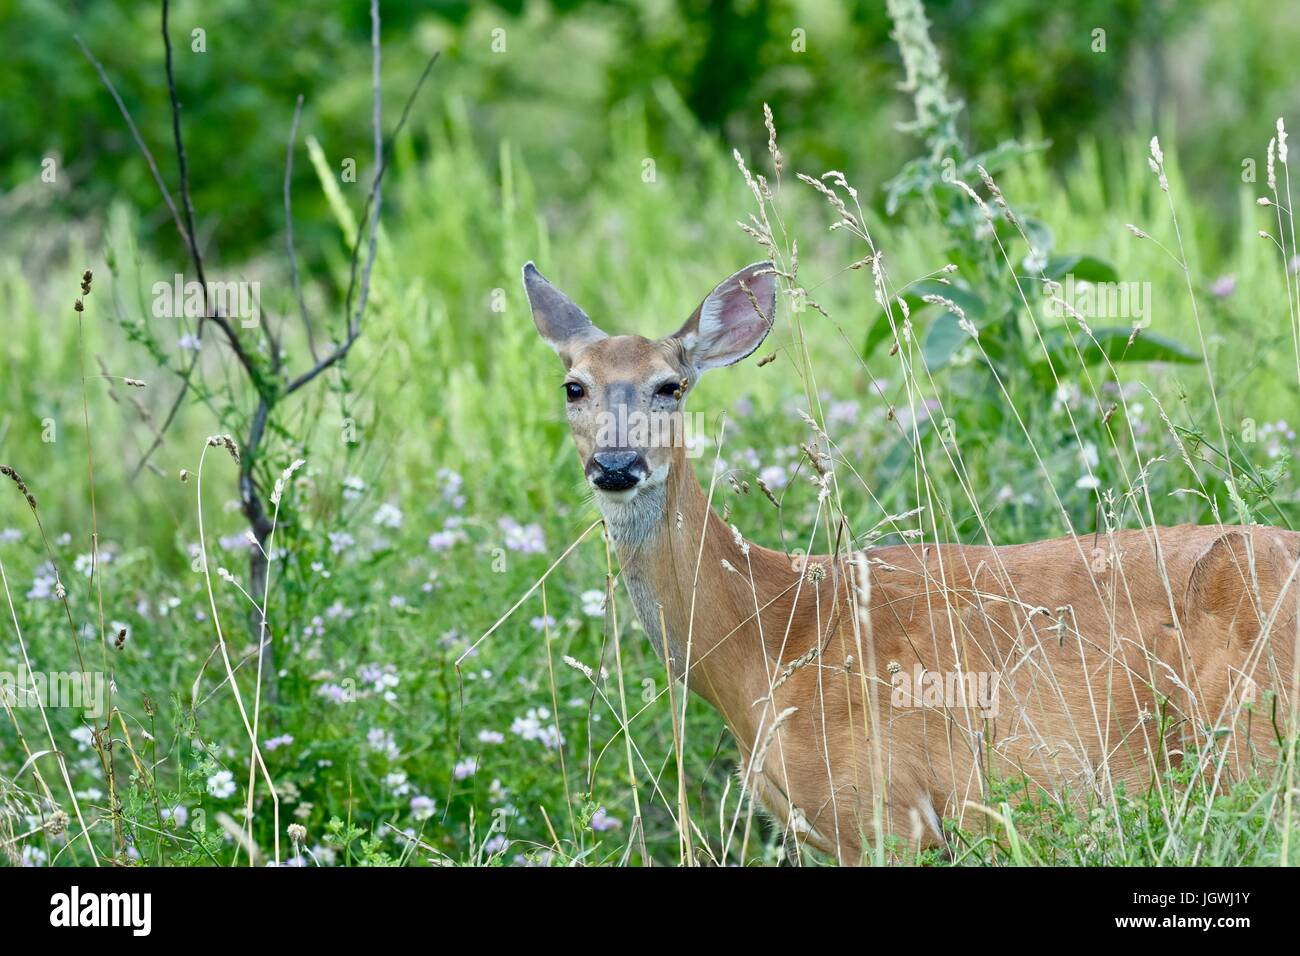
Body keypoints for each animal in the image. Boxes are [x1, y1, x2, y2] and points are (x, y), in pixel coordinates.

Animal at [522, 259, 1299, 864]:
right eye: (574, 386)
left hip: (1247, 732)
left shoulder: (884, 808)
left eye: (670, 386)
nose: (616, 464)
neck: (772, 636)